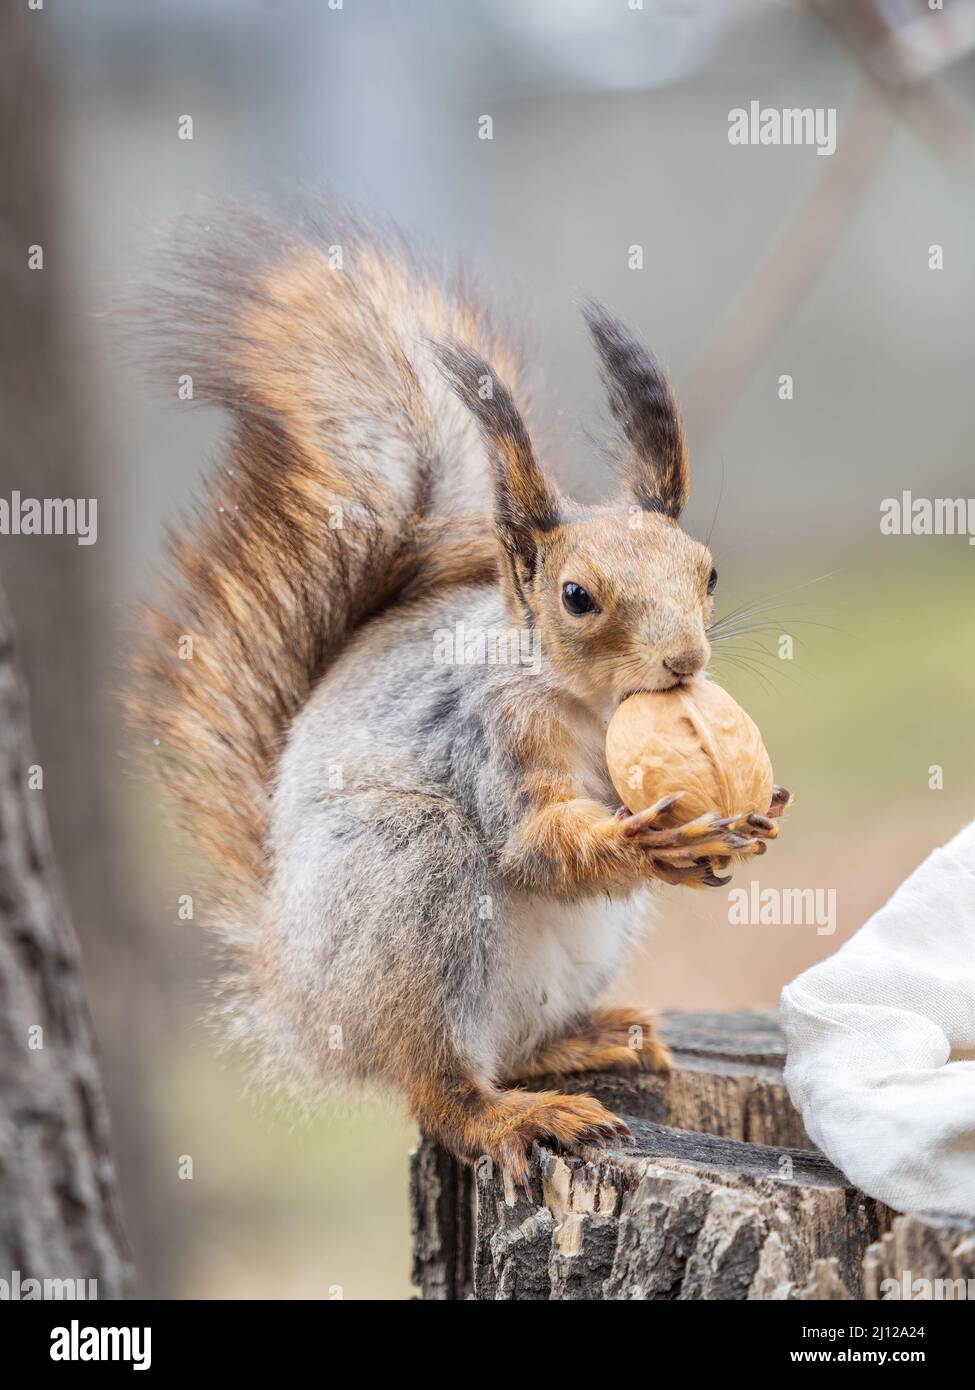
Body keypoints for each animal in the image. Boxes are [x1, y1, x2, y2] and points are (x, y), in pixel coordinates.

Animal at [130, 203, 788, 1180]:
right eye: (576, 597)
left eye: (706, 574)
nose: (683, 662)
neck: (589, 706)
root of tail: (298, 1007)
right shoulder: (494, 734)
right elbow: (535, 843)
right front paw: (646, 840)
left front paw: (756, 817)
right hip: (407, 880)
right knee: (438, 1087)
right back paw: (511, 1117)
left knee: (511, 1047)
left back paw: (588, 1042)